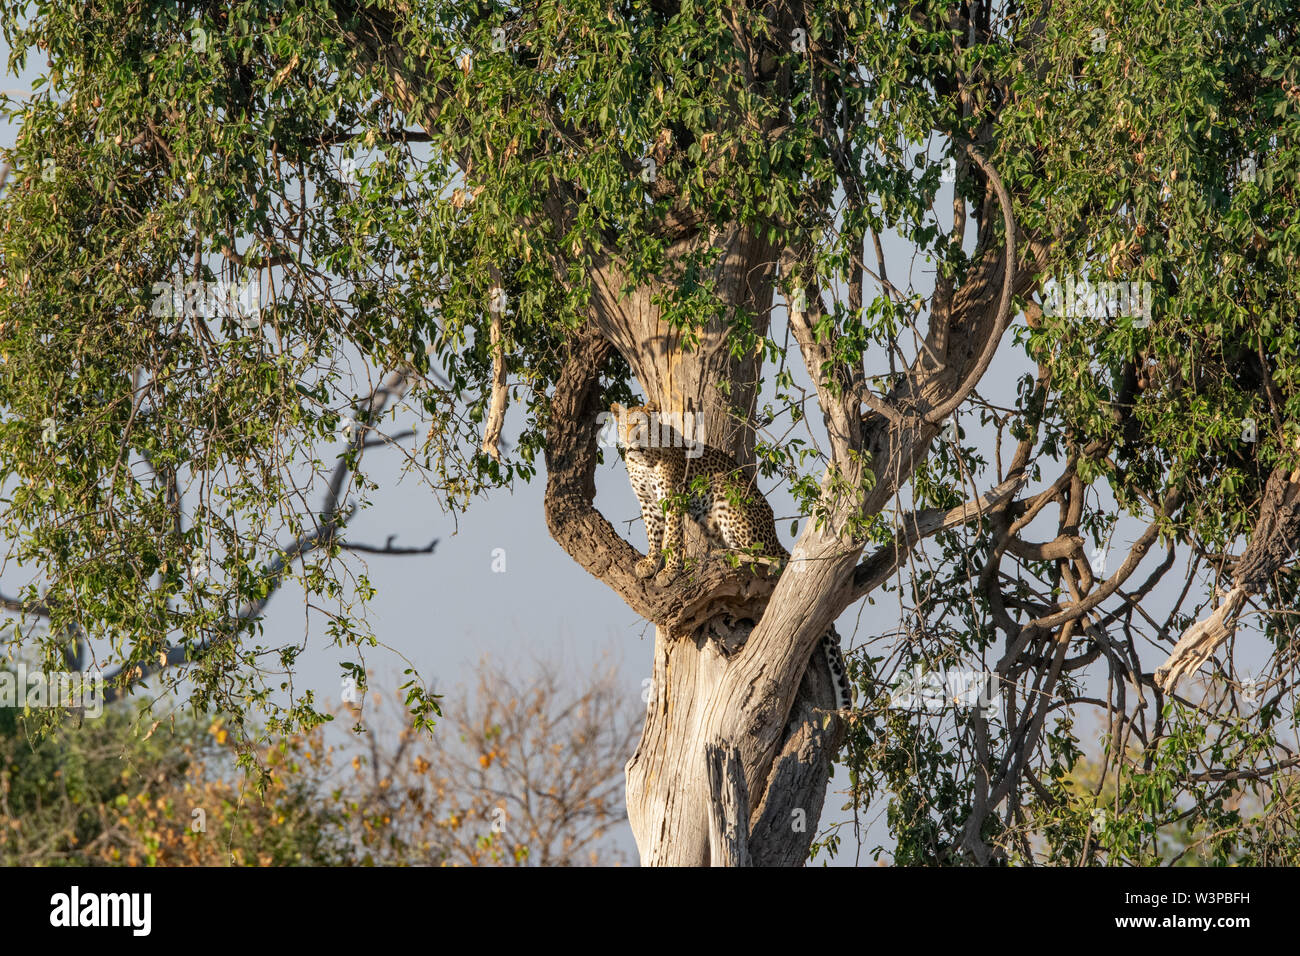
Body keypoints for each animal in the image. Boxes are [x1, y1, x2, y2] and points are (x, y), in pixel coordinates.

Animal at [609, 401, 852, 710]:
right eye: (625, 424)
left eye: (642, 424)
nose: (632, 438)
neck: (642, 459)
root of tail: (774, 536)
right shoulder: (648, 503)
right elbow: (654, 534)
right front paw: (651, 563)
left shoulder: (672, 497)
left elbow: (673, 535)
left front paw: (670, 571)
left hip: (729, 500)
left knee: (763, 558)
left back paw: (728, 556)